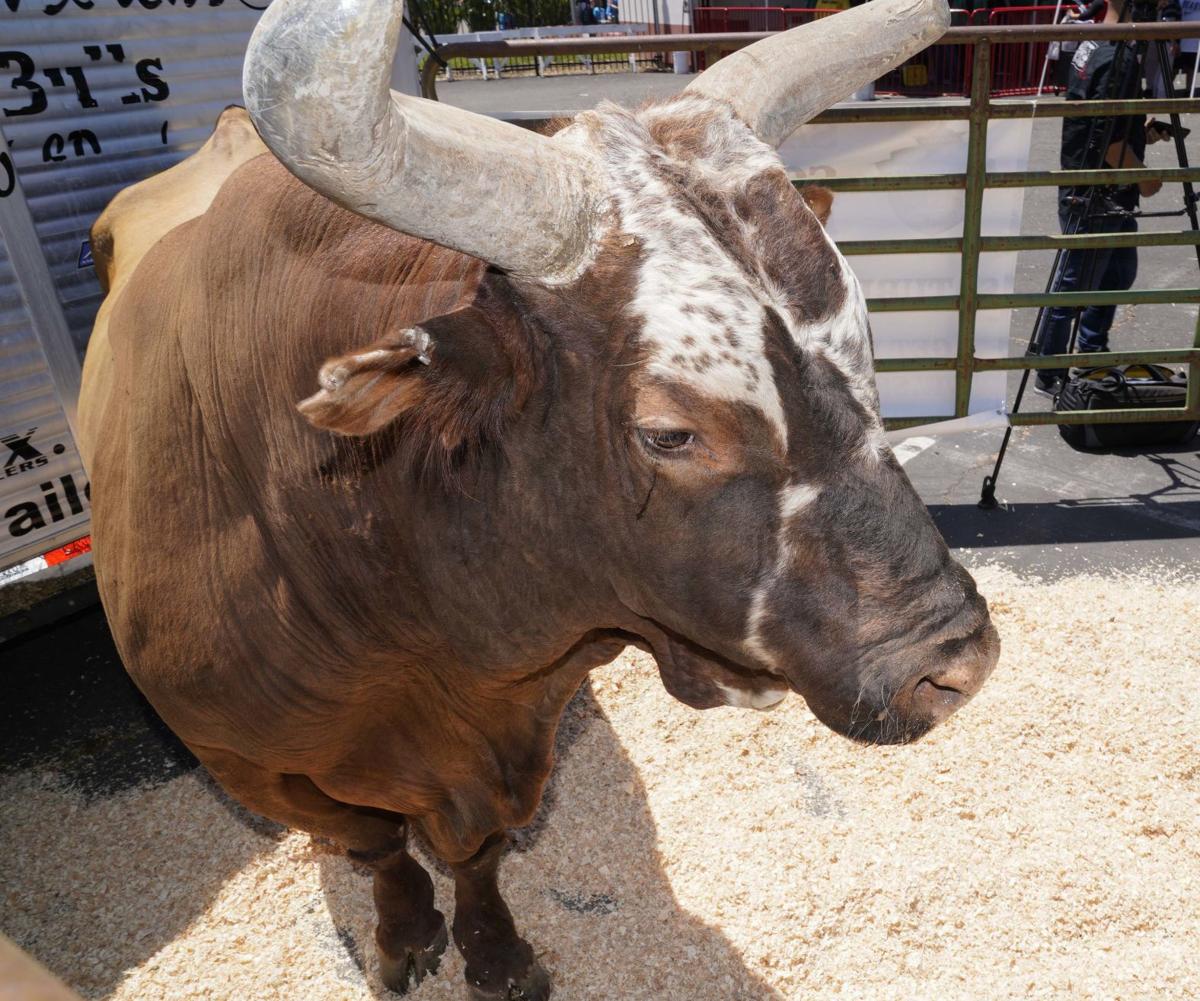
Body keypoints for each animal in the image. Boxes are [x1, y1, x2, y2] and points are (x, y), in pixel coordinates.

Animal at [78, 0, 999, 997]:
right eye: (668, 433)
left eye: (865, 341)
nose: (955, 662)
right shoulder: (252, 765)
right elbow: (376, 841)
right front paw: (405, 933)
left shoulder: (520, 728)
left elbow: (477, 851)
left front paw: (495, 950)